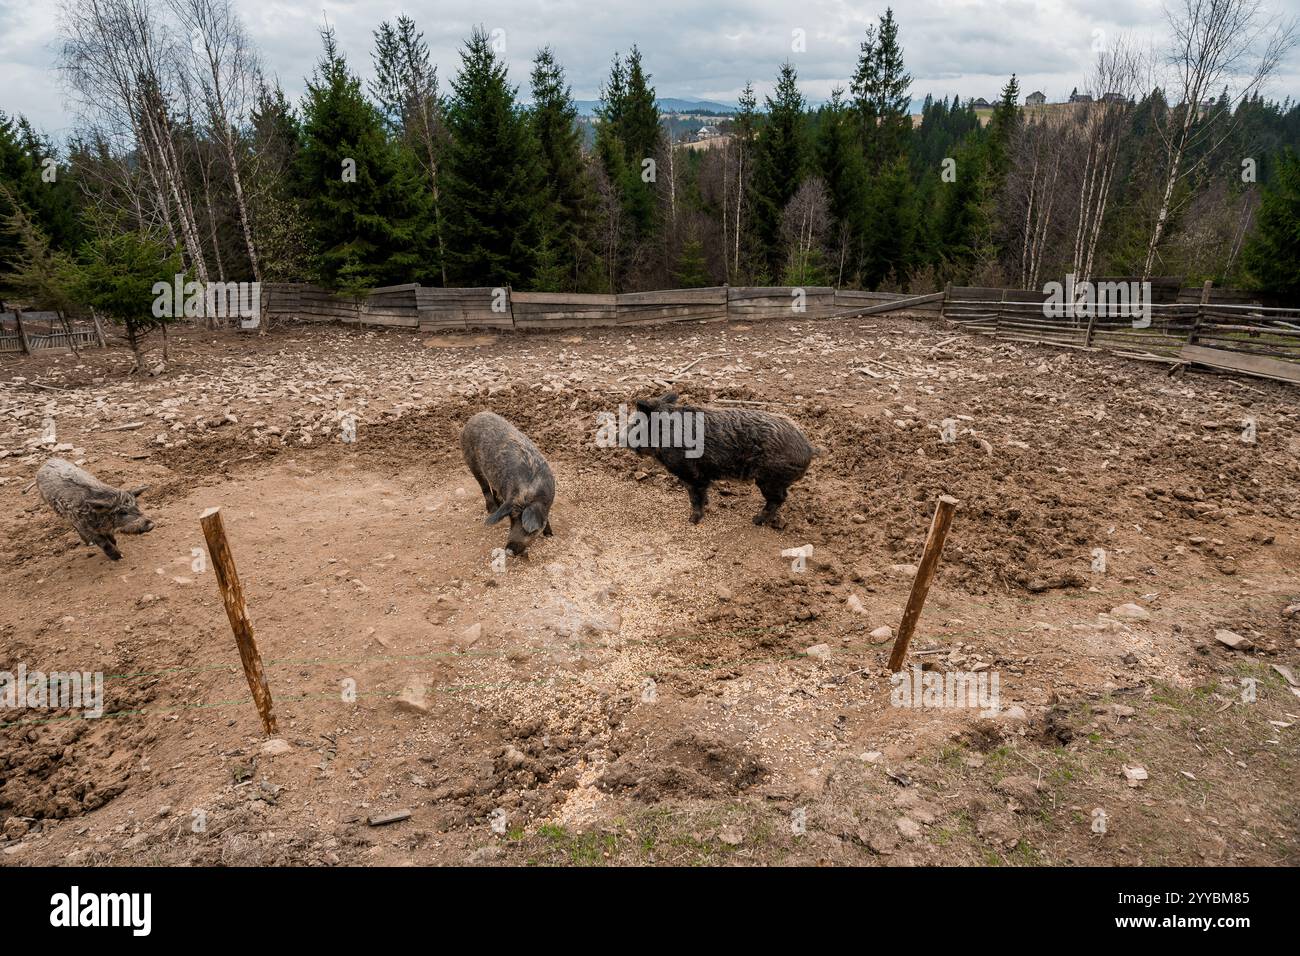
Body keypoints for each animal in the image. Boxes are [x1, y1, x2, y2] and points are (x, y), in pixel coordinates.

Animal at [460, 411, 555, 555]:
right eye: (511, 518)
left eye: (527, 528)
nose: (509, 551)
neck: (529, 489)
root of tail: (473, 417)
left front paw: (550, 535)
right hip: (471, 461)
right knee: (484, 487)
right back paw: (492, 509)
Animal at [627, 392, 820, 530]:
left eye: (636, 423)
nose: (621, 438)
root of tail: (808, 448)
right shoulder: (702, 475)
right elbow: (702, 493)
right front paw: (706, 506)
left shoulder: (691, 472)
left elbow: (694, 496)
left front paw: (692, 520)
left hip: (770, 478)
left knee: (779, 498)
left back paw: (756, 520)